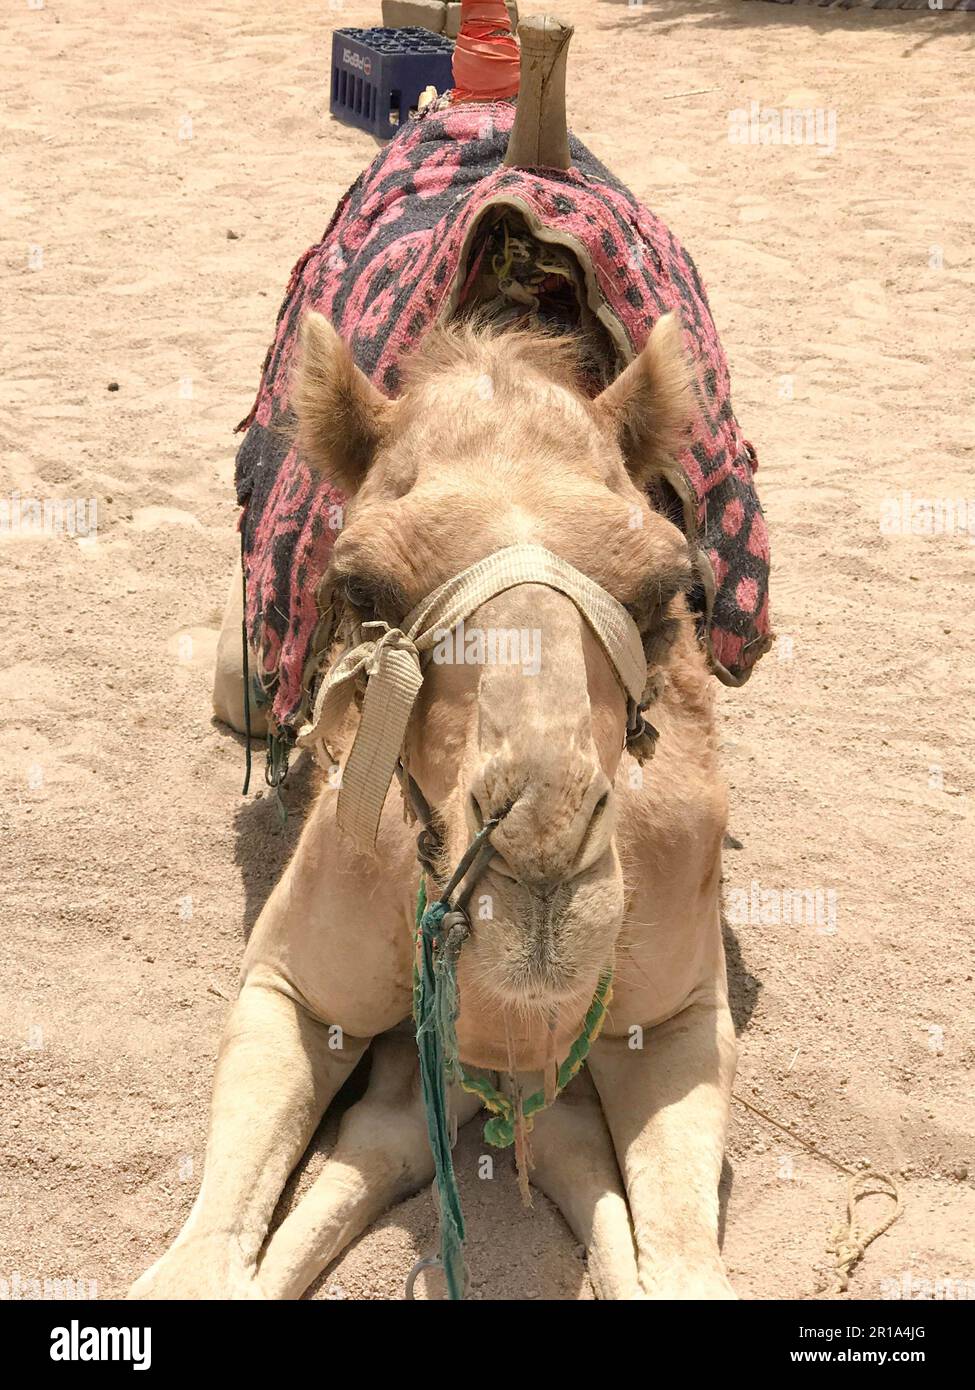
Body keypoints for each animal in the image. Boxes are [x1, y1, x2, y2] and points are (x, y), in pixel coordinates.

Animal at [131, 17, 743, 1301]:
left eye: (670, 590)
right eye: (360, 588)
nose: (543, 859)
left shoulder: (681, 1010)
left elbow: (676, 1249)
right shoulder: (286, 984)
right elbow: (212, 1246)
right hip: (241, 687)